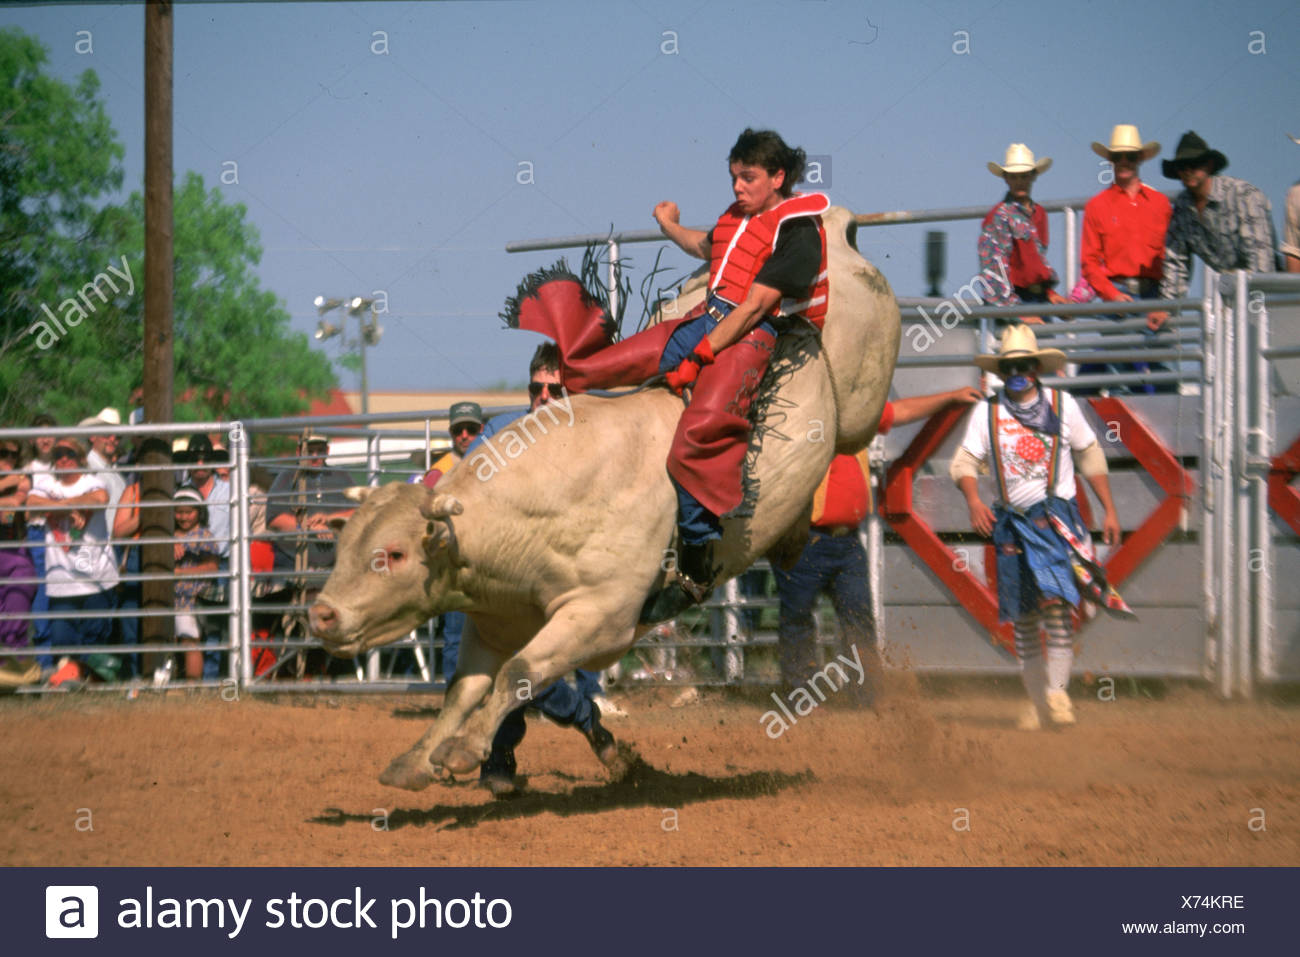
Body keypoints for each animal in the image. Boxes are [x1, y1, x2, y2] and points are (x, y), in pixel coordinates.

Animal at [308, 206, 900, 791]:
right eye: (344, 548)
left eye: (394, 553)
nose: (321, 614)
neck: (544, 510)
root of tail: (834, 227)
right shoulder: (497, 620)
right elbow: (466, 686)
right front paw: (416, 760)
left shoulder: (602, 617)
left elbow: (519, 673)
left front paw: (461, 752)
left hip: (857, 397)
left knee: (852, 434)